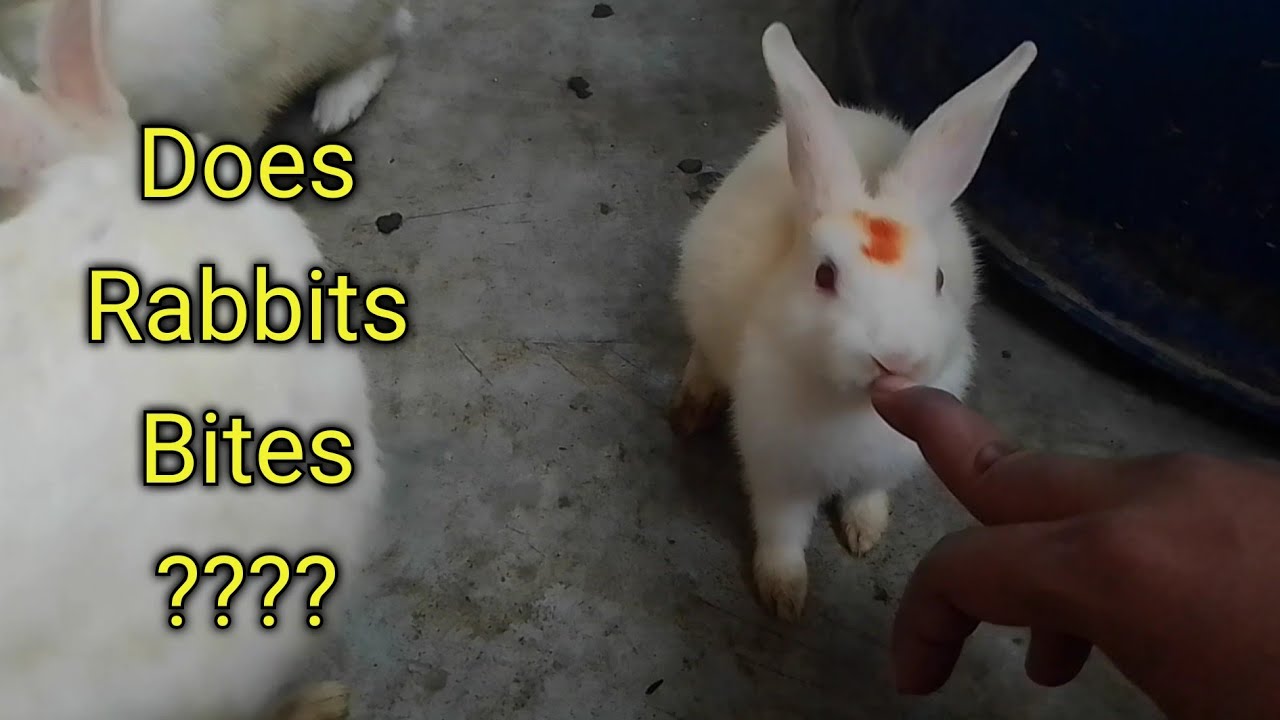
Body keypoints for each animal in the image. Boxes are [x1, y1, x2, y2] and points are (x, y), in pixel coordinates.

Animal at [671, 22, 1037, 620]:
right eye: (824, 275)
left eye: (939, 279)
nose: (897, 356)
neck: (852, 405)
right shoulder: (780, 472)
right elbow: (782, 532)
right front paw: (784, 595)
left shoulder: (885, 466)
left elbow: (866, 496)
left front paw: (866, 535)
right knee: (702, 354)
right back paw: (689, 410)